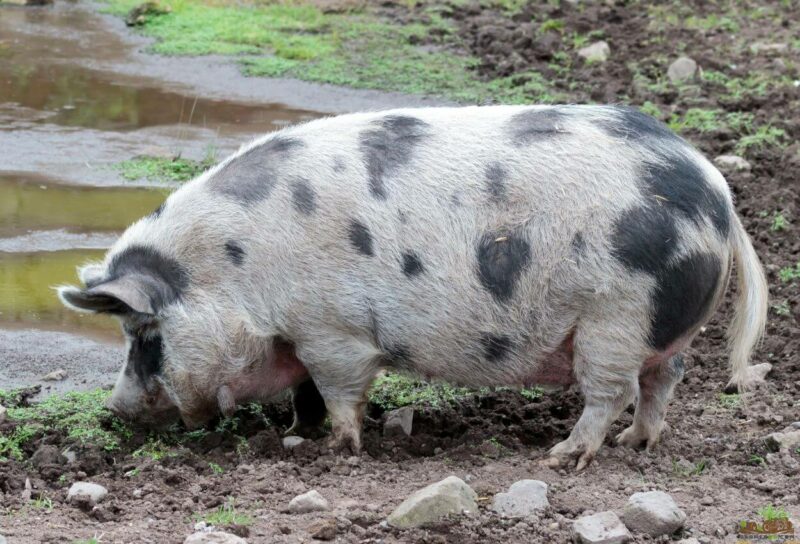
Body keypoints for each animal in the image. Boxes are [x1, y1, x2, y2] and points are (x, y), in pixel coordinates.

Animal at [58, 105, 768, 469]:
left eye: (144, 332)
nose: (116, 409)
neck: (234, 270)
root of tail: (717, 191)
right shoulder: (301, 335)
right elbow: (305, 391)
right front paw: (297, 435)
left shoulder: (333, 328)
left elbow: (339, 389)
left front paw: (338, 448)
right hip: (656, 328)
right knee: (664, 379)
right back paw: (636, 445)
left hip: (614, 315)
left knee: (612, 391)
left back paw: (563, 455)